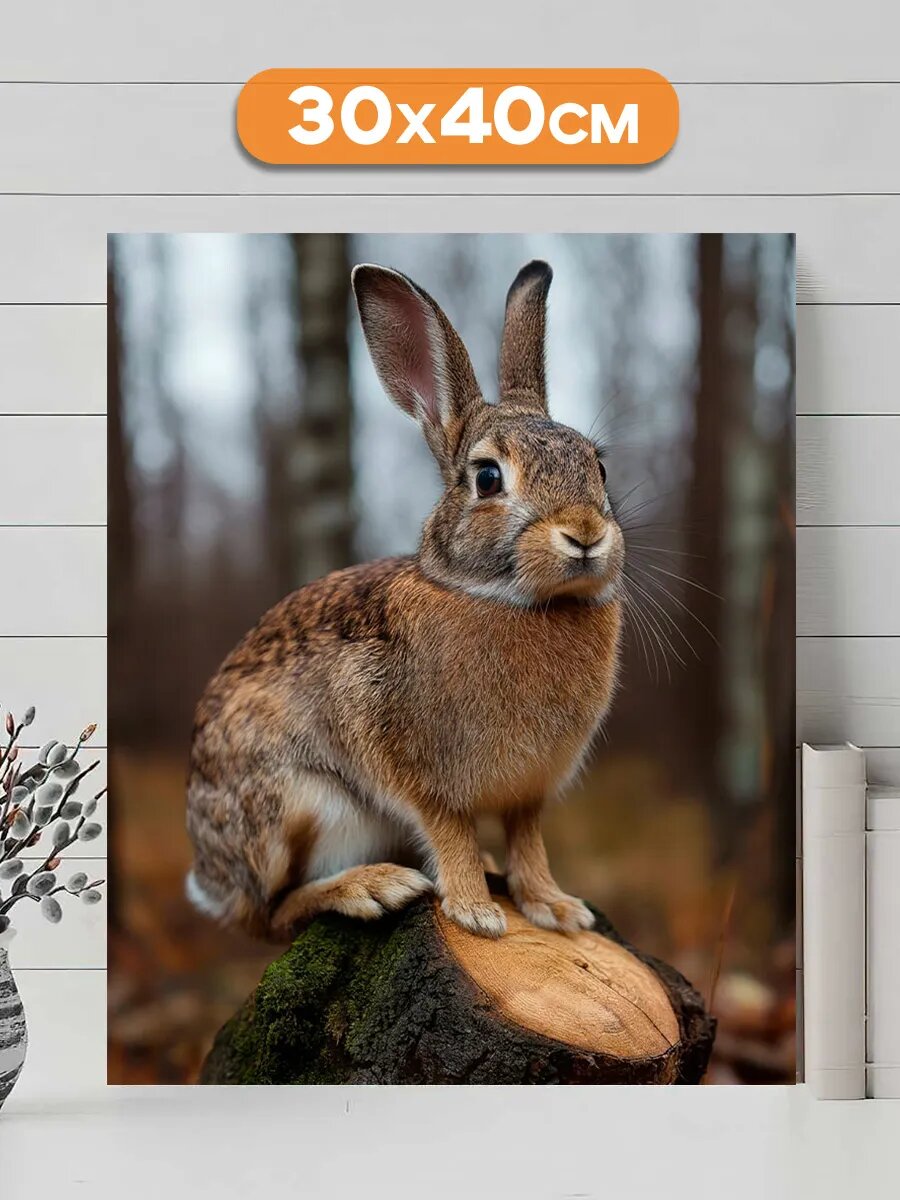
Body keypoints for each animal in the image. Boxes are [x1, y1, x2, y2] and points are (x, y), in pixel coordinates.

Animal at [186, 259, 625, 941]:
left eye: (597, 467)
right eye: (488, 478)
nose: (584, 533)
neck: (509, 601)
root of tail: (210, 880)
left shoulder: (528, 793)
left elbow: (527, 842)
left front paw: (556, 909)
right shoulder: (418, 773)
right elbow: (450, 832)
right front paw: (475, 913)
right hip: (296, 806)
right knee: (273, 911)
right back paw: (373, 886)